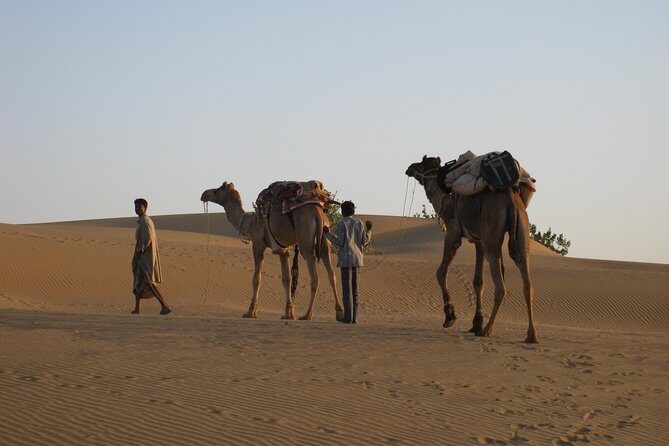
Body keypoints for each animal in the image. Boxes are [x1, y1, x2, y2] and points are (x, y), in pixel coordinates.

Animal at [200, 182, 343, 321]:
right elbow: (287, 279)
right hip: (325, 240)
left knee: (315, 278)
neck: (249, 223)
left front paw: (250, 312)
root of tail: (318, 214)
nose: (204, 194)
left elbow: (256, 279)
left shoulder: (258, 244)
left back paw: (307, 315)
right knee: (332, 275)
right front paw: (288, 313)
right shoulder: (283, 250)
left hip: (306, 242)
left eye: (217, 190)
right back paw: (339, 312)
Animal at [406, 156, 538, 343]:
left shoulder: (453, 233)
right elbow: (478, 281)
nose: (409, 168)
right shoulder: (478, 240)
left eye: (421, 162)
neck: (444, 199)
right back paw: (531, 335)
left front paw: (450, 316)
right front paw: (476, 323)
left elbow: (441, 272)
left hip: (492, 234)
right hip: (522, 231)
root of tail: (512, 202)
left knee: (501, 287)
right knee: (528, 284)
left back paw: (487, 330)